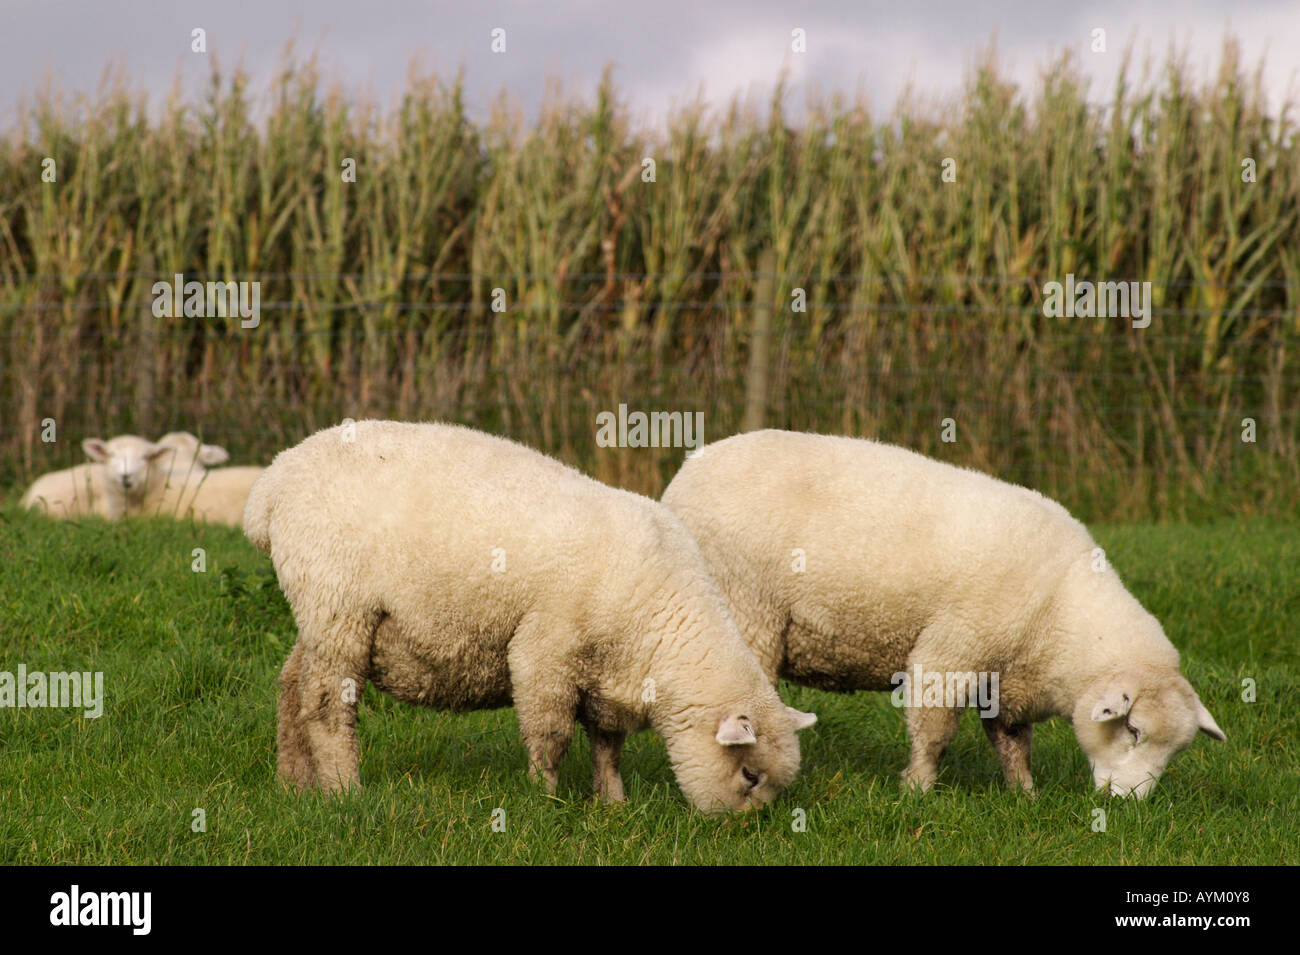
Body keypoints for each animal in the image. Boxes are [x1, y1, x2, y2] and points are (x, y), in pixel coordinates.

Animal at [243, 420, 817, 813]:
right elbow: (551, 737)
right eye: (749, 776)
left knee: (292, 688)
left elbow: (607, 745)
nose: (744, 827)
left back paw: (294, 786)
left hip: (319, 614)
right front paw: (546, 800)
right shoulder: (546, 651)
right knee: (325, 705)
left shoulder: (607, 674)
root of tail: (270, 486)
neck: (661, 627)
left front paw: (612, 803)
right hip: (339, 605)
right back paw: (345, 791)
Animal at [661, 429, 1226, 799]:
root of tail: (687, 472)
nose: (1129, 806)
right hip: (744, 606)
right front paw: (917, 790)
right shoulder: (952, 653)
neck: (1063, 615)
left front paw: (1025, 795)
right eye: (1134, 731)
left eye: (1173, 753)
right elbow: (933, 732)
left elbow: (1013, 743)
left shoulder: (1005, 675)